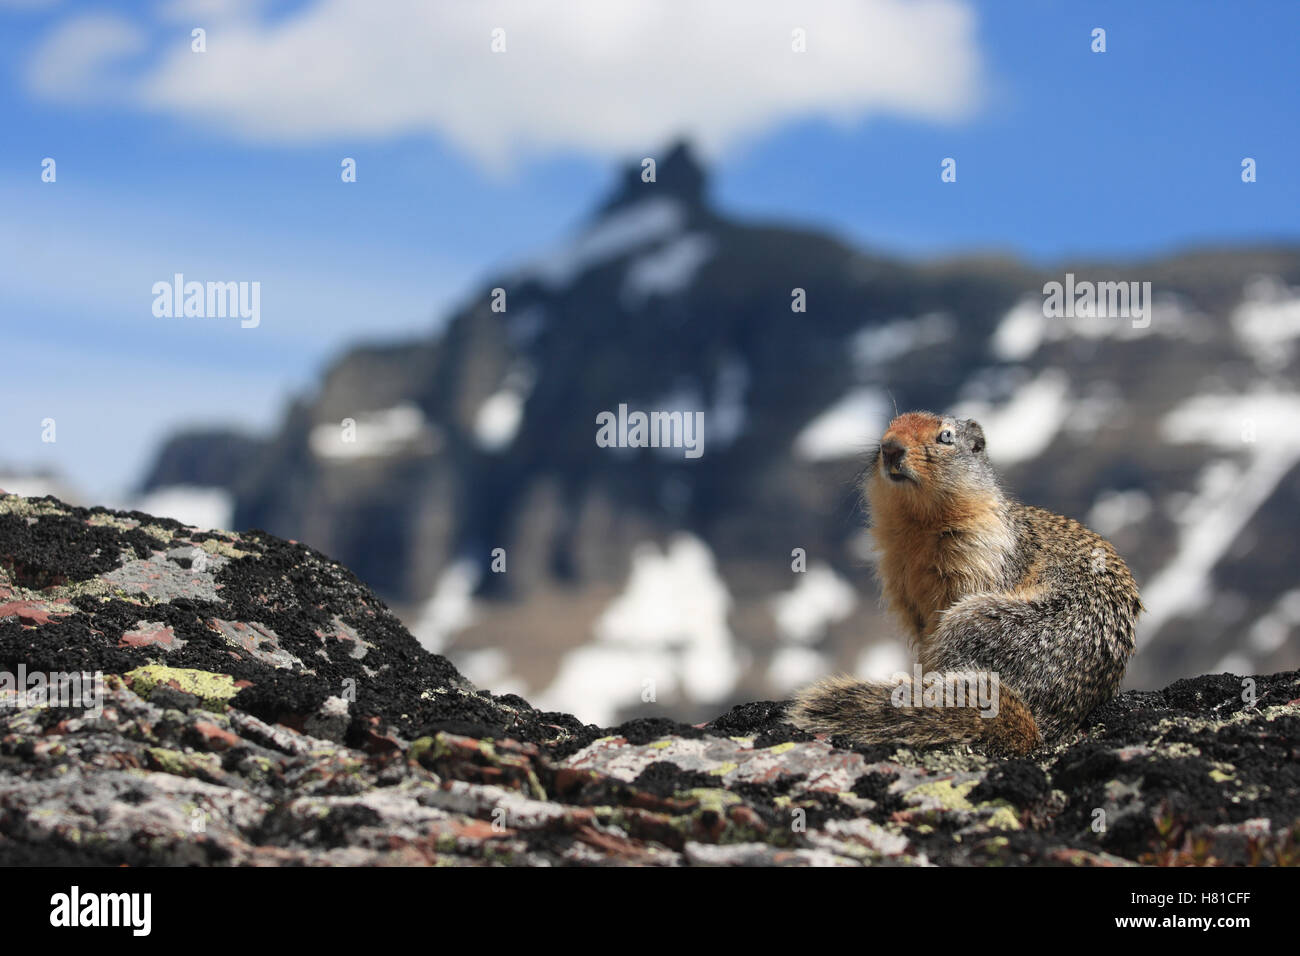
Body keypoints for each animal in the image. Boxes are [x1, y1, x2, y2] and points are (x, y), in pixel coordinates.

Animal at [789, 411, 1143, 755]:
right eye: (889, 426)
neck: (918, 525)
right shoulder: (902, 586)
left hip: (976, 622)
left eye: (946, 436)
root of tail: (1040, 725)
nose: (889, 447)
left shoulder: (978, 559)